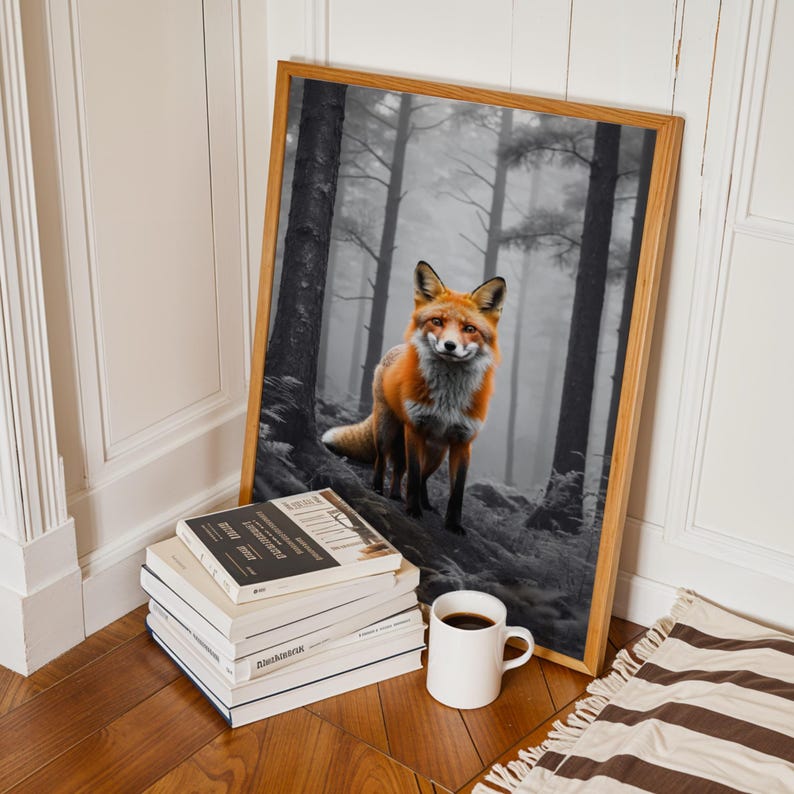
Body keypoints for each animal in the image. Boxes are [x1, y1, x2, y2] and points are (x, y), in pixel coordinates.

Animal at [322, 260, 507, 534]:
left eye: (469, 329)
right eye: (437, 321)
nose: (449, 346)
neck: (447, 400)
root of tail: (395, 350)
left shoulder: (463, 441)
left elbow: (456, 492)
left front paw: (453, 524)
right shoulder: (416, 429)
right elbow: (414, 475)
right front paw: (412, 511)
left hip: (436, 451)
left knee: (411, 473)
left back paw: (416, 500)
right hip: (388, 429)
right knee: (385, 461)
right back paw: (381, 490)